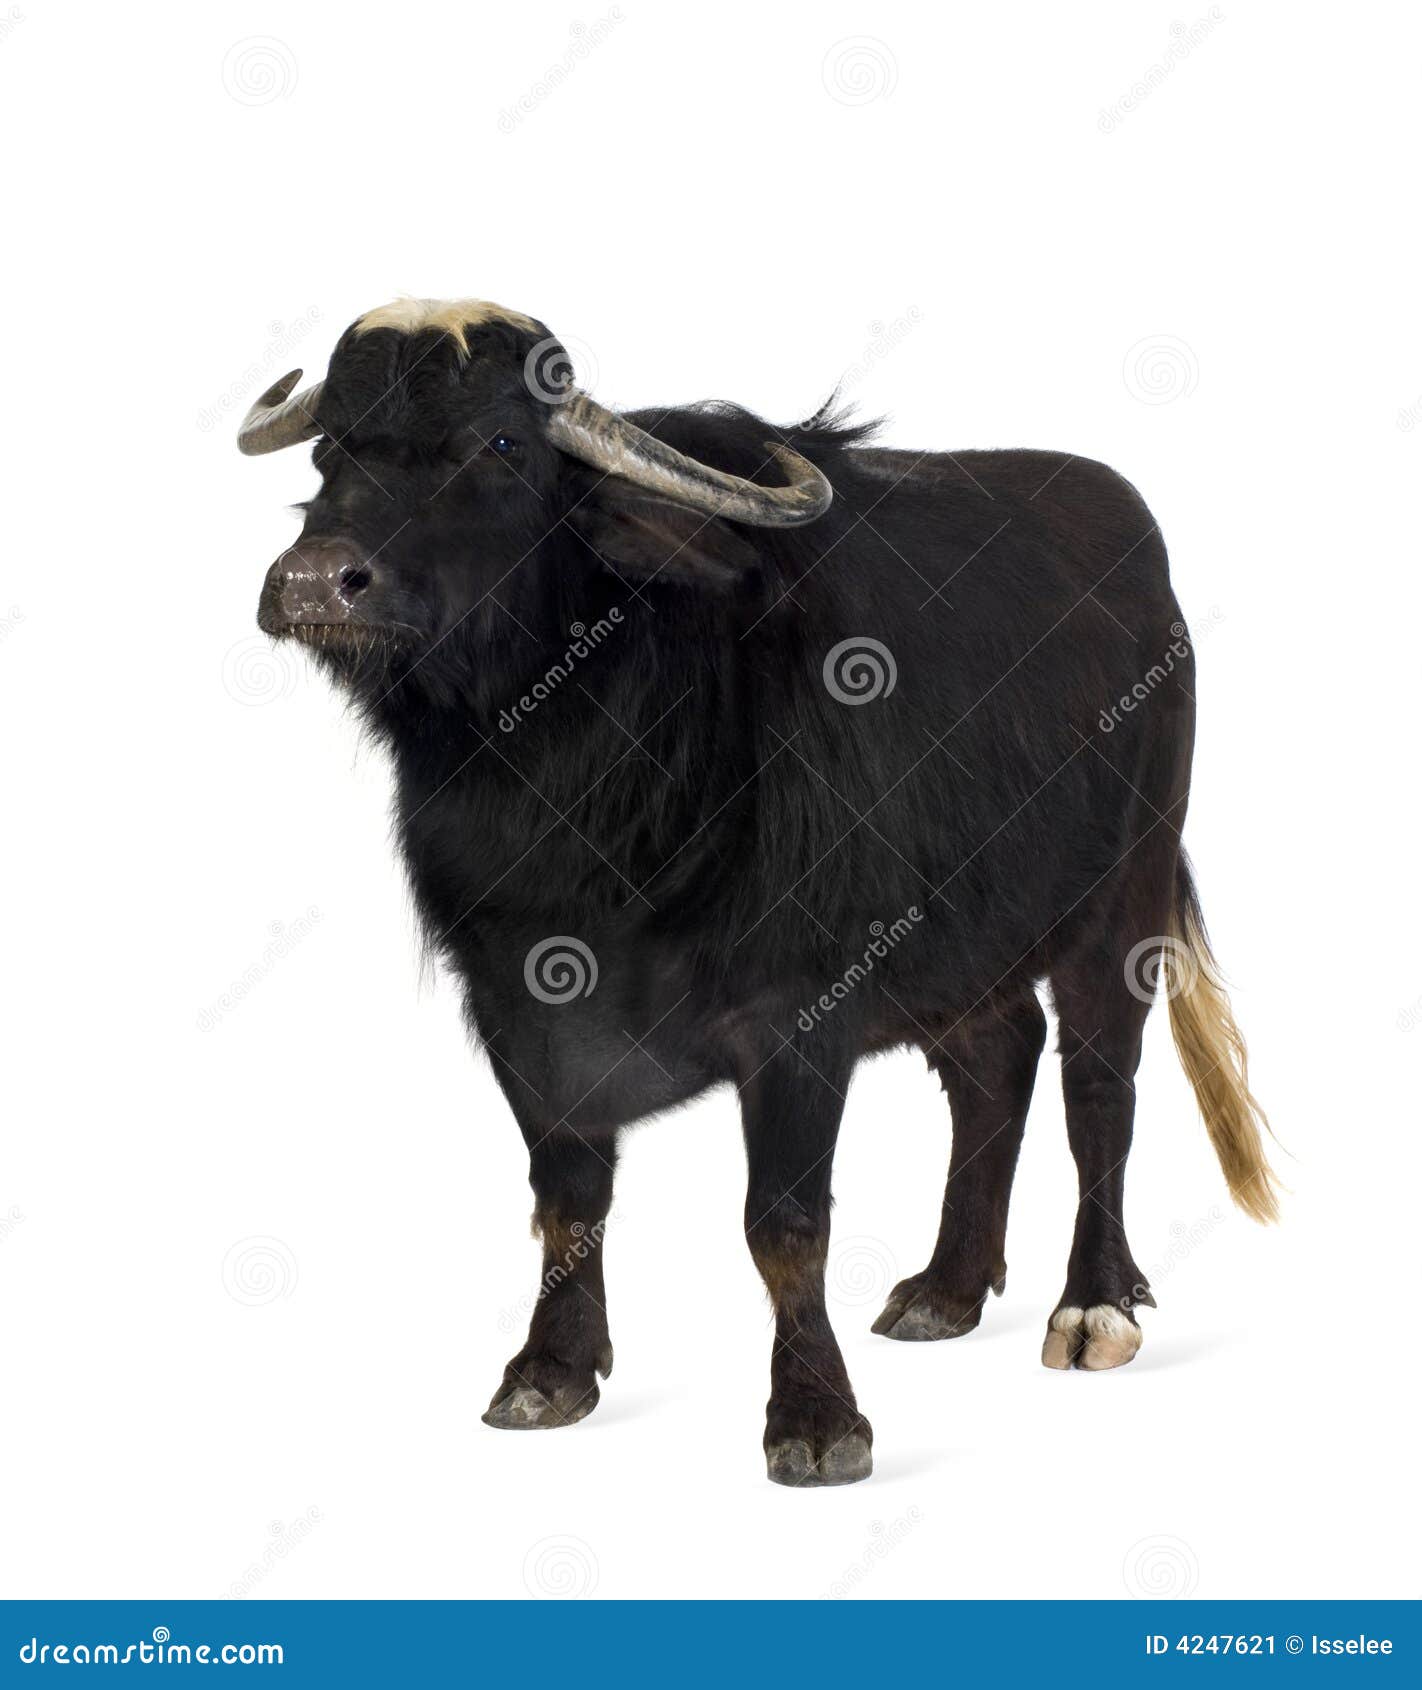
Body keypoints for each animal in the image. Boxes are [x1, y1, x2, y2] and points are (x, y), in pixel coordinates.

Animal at [239, 296, 1276, 1487]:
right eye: (331, 448)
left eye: (501, 444)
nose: (315, 581)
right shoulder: (513, 1007)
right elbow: (568, 1200)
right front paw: (550, 1371)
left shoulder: (795, 1015)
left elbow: (783, 1226)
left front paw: (818, 1420)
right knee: (998, 1066)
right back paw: (945, 1289)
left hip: (1124, 898)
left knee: (1098, 1090)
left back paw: (1095, 1308)